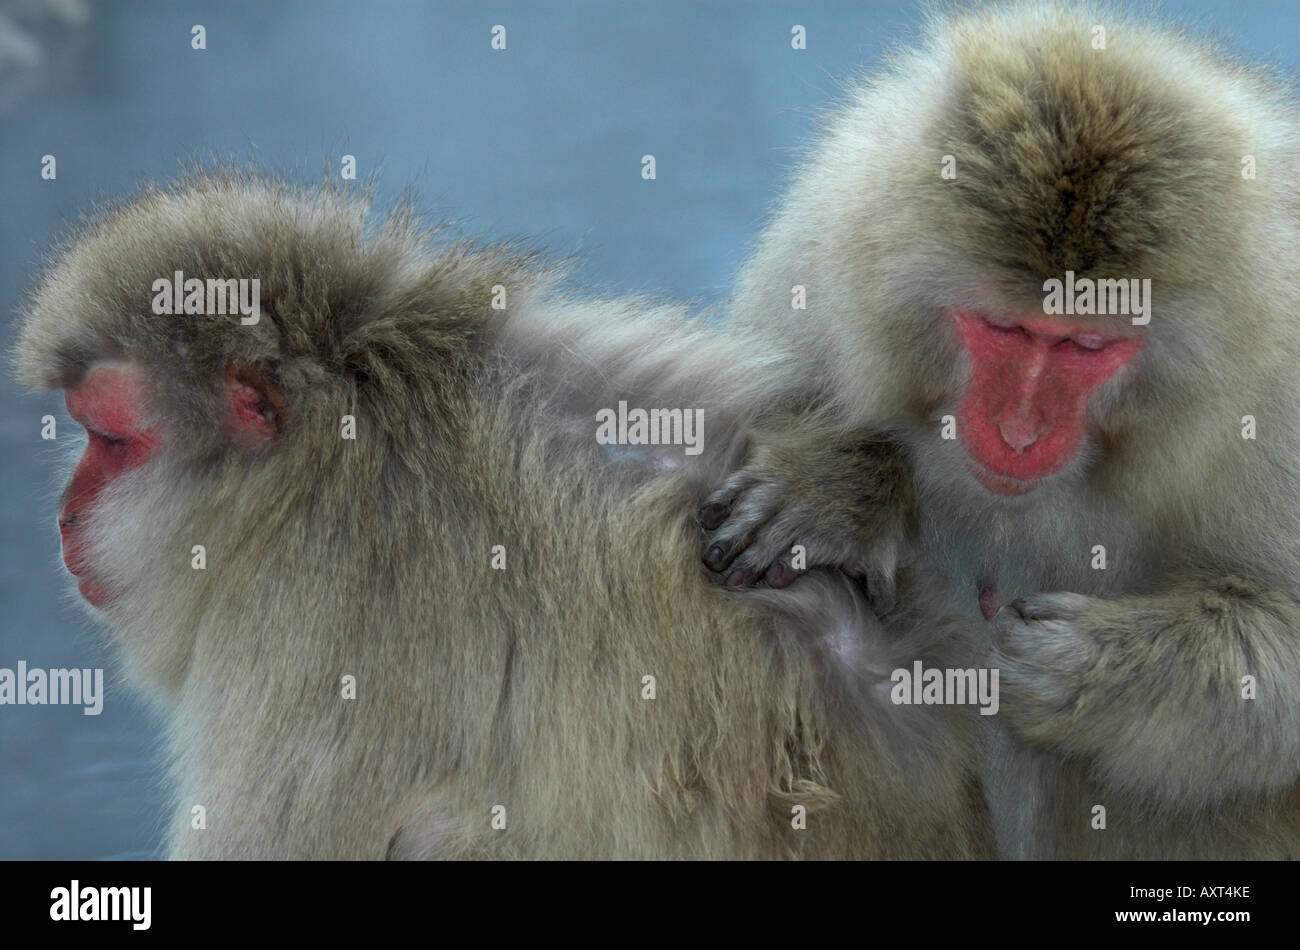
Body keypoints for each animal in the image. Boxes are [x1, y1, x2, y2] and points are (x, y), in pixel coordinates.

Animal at [14, 171, 993, 859]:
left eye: (111, 439)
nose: (63, 514)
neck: (343, 439)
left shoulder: (298, 617)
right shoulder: (544, 358)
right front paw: (845, 482)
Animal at [564, 3, 1300, 859]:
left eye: (1087, 345)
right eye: (1003, 328)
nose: (1019, 431)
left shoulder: (1277, 401)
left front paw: (1086, 672)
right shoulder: (825, 248)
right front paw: (842, 488)